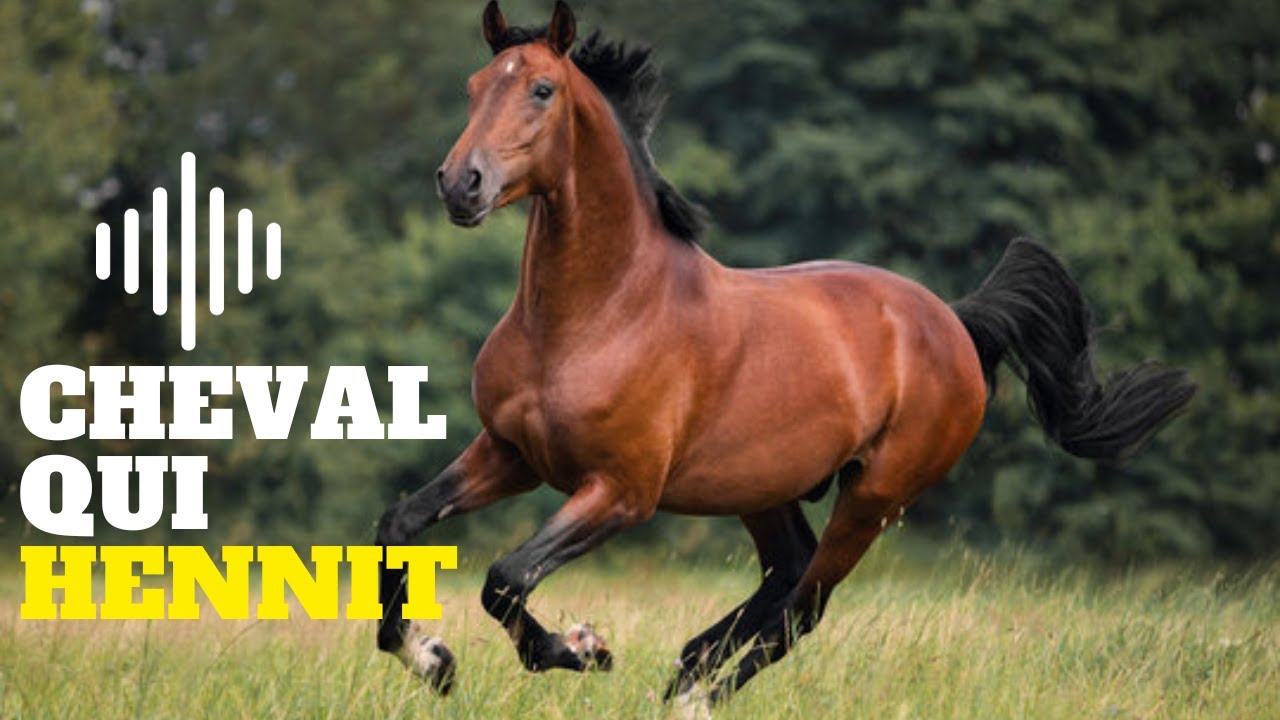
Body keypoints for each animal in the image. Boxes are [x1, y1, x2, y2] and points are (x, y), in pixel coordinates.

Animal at [375, 0, 1196, 706]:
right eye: (474, 87)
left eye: (542, 89)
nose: (461, 184)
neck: (596, 315)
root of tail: (955, 322)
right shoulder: (512, 452)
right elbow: (402, 526)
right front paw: (431, 658)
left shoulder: (621, 491)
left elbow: (507, 576)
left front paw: (582, 648)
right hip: (763, 487)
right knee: (785, 576)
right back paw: (687, 668)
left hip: (873, 498)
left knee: (803, 607)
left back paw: (693, 696)